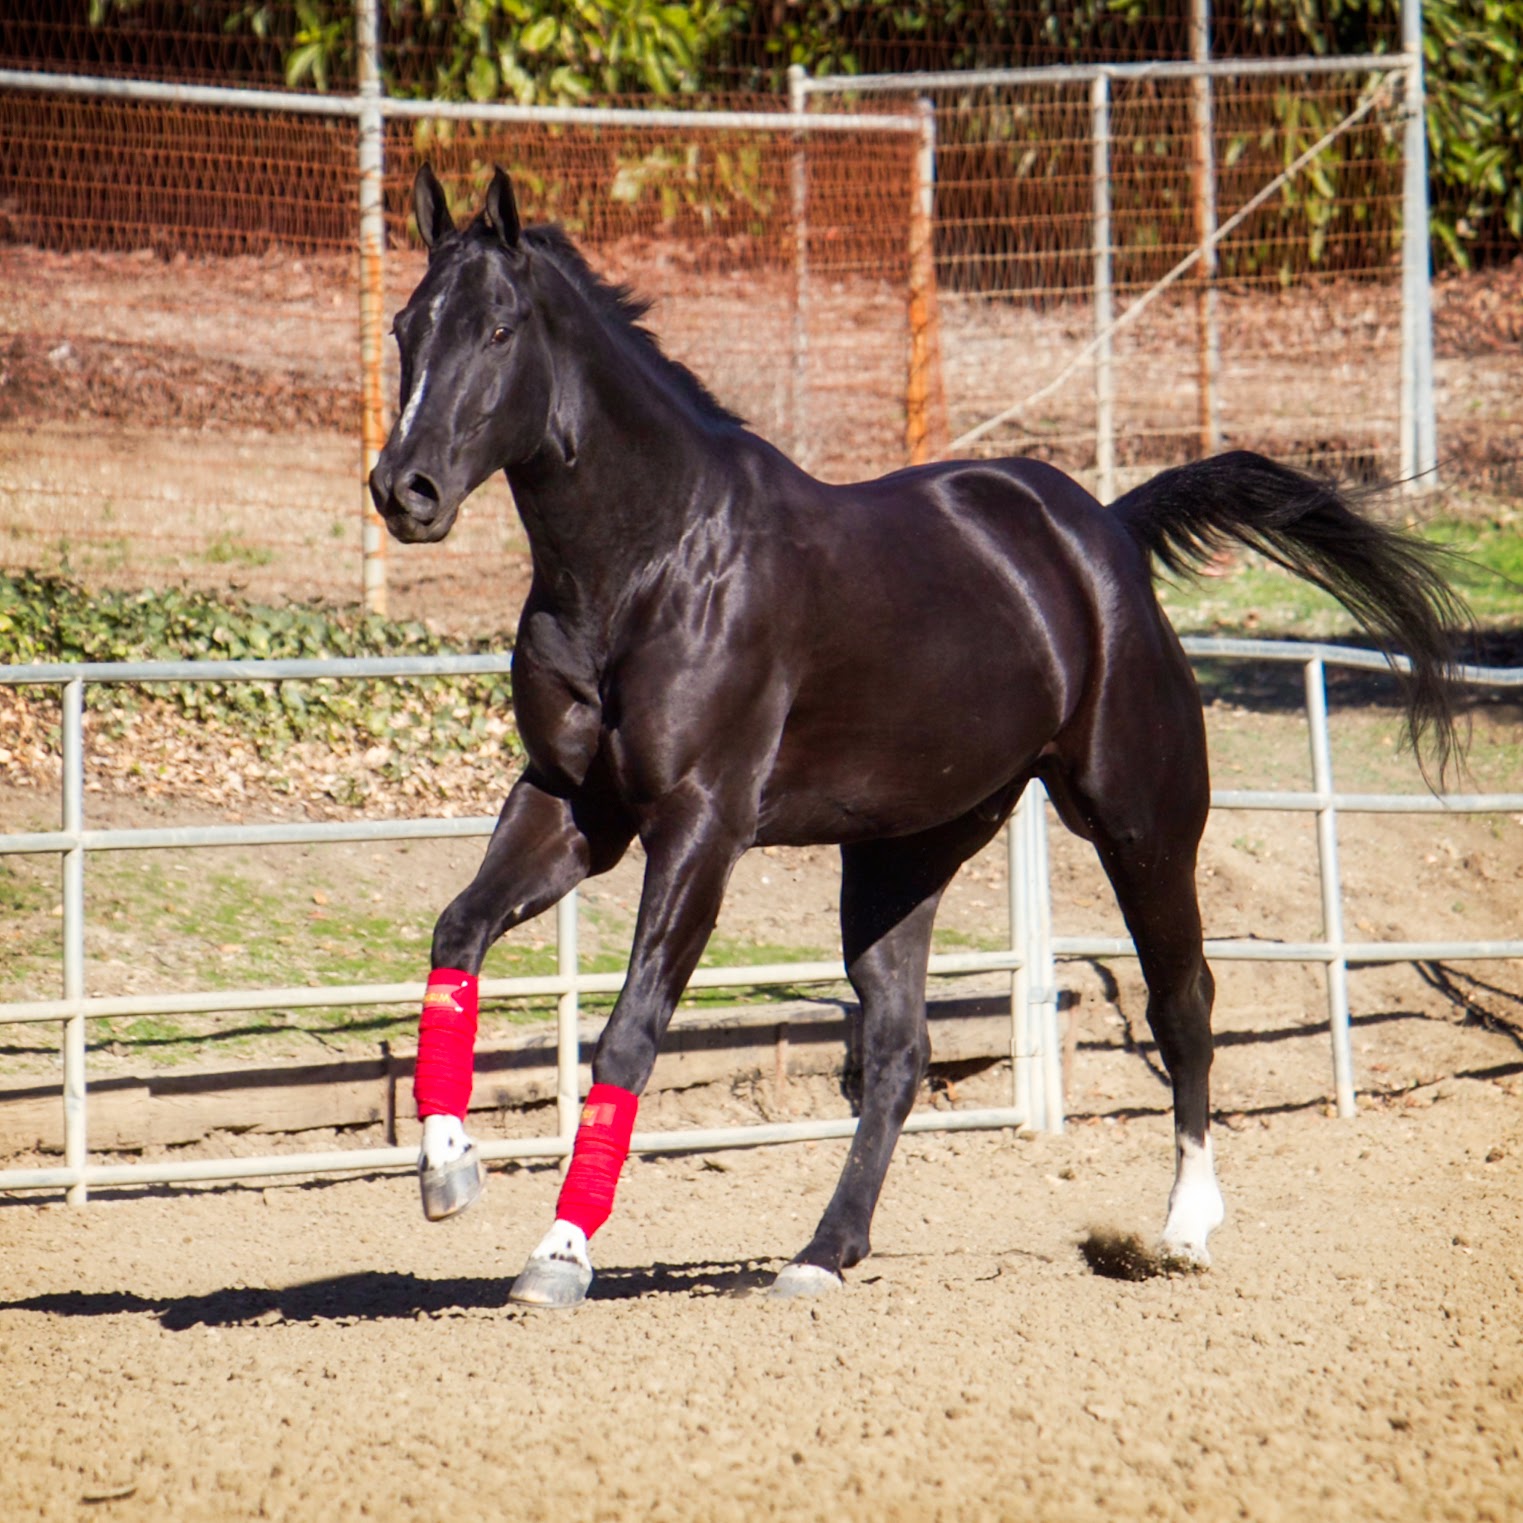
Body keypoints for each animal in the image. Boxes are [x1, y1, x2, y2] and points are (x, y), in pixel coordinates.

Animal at [368, 163, 1464, 1308]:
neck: (654, 560)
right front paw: (447, 1170)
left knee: (1181, 1000)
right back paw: (821, 1252)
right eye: (407, 326)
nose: (404, 490)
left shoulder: (698, 826)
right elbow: (456, 931)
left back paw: (1182, 1227)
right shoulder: (574, 804)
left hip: (1141, 823)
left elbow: (628, 1033)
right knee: (898, 1049)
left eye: (497, 330)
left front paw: (559, 1252)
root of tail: (1101, 535)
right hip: (906, 852)